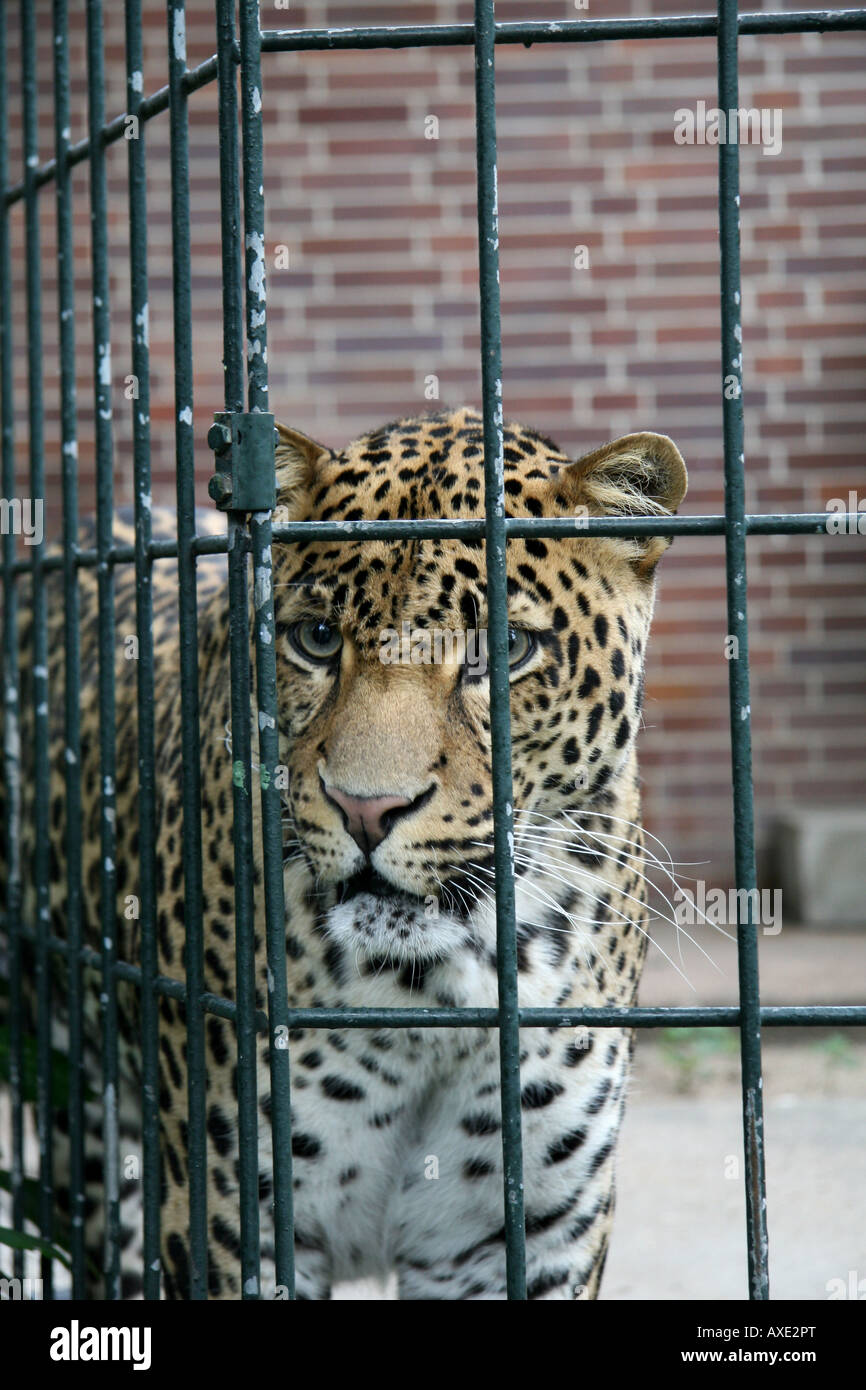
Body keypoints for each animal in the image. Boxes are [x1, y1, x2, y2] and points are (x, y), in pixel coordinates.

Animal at [3, 405, 687, 1299]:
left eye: (505, 649)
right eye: (318, 639)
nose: (368, 810)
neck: (435, 996)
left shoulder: (530, 1238)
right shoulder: (238, 1224)